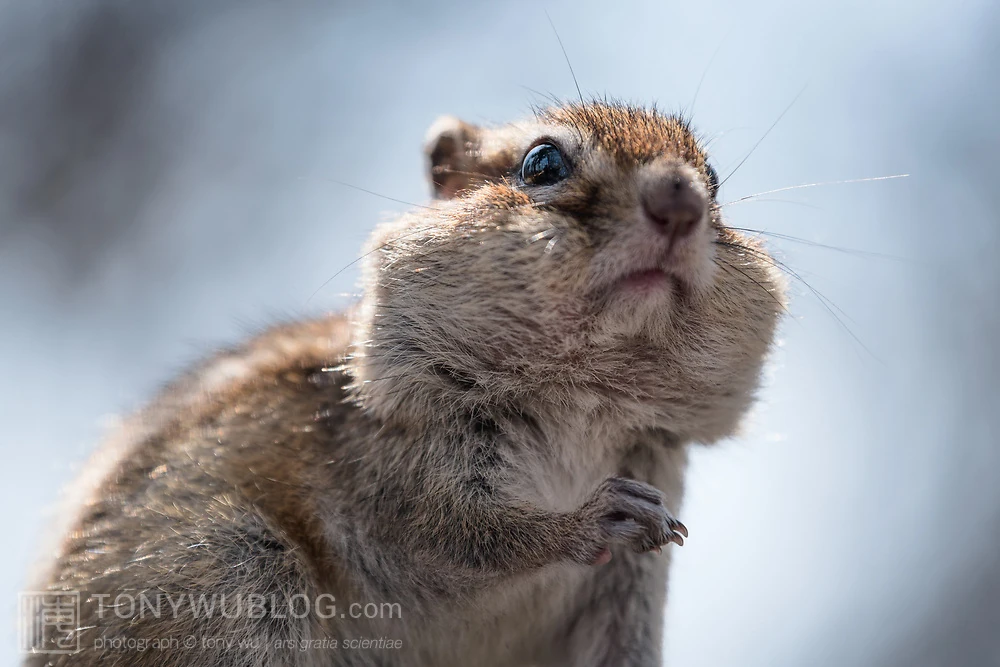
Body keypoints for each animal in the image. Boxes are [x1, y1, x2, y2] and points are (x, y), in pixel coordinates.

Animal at [24, 101, 785, 667]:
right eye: (542, 162)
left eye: (714, 180)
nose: (680, 199)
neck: (583, 399)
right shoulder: (381, 474)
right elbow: (456, 538)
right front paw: (592, 516)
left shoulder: (634, 569)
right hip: (233, 573)